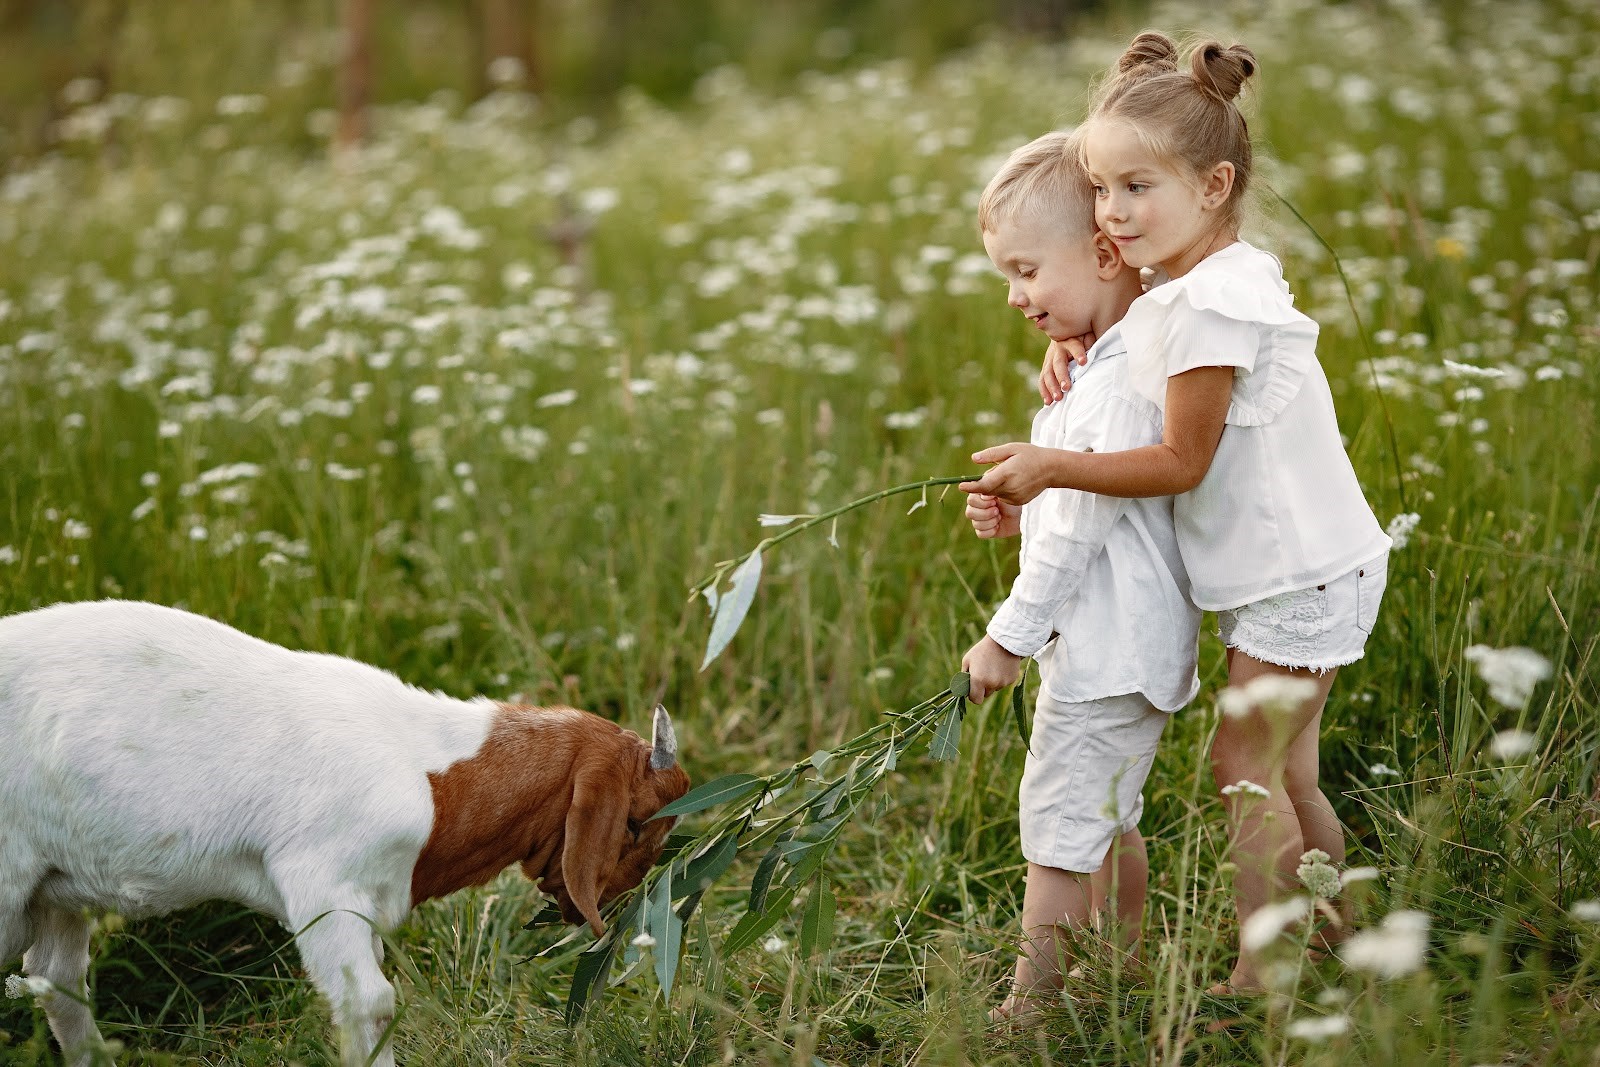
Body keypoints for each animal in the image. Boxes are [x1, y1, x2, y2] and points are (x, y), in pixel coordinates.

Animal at [0, 601, 684, 1067]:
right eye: (637, 824)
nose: (623, 910)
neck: (434, 777)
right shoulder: (322, 886)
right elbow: (369, 1003)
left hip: (56, 892)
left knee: (58, 983)